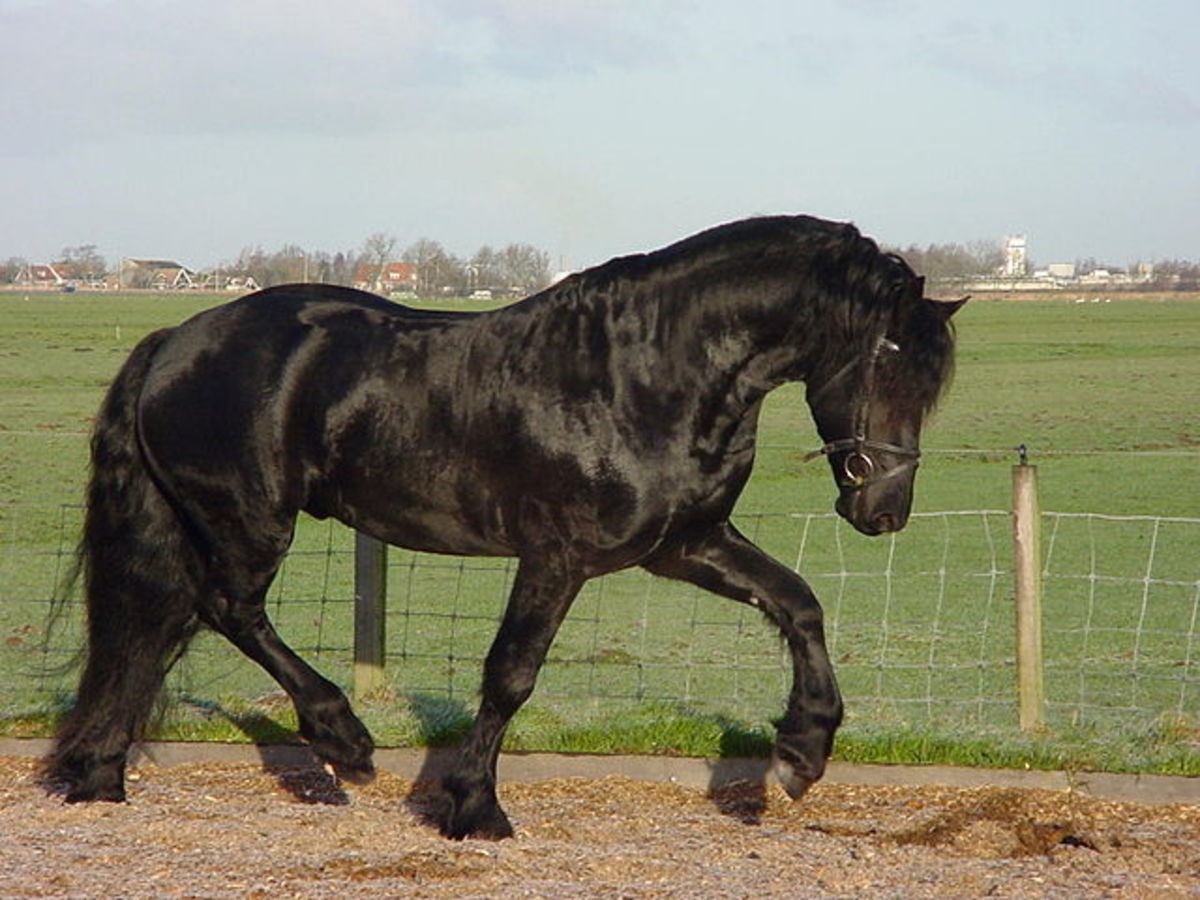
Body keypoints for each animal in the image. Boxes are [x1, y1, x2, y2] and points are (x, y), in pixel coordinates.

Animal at [46, 214, 964, 839]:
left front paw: (804, 750)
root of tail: (175, 339)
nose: (882, 510)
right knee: (224, 609)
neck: (643, 375)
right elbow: (511, 675)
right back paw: (343, 740)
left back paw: (100, 774)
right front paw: (473, 806)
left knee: (157, 625)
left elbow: (798, 603)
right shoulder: (557, 557)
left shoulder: (683, 546)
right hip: (248, 520)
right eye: (886, 358)